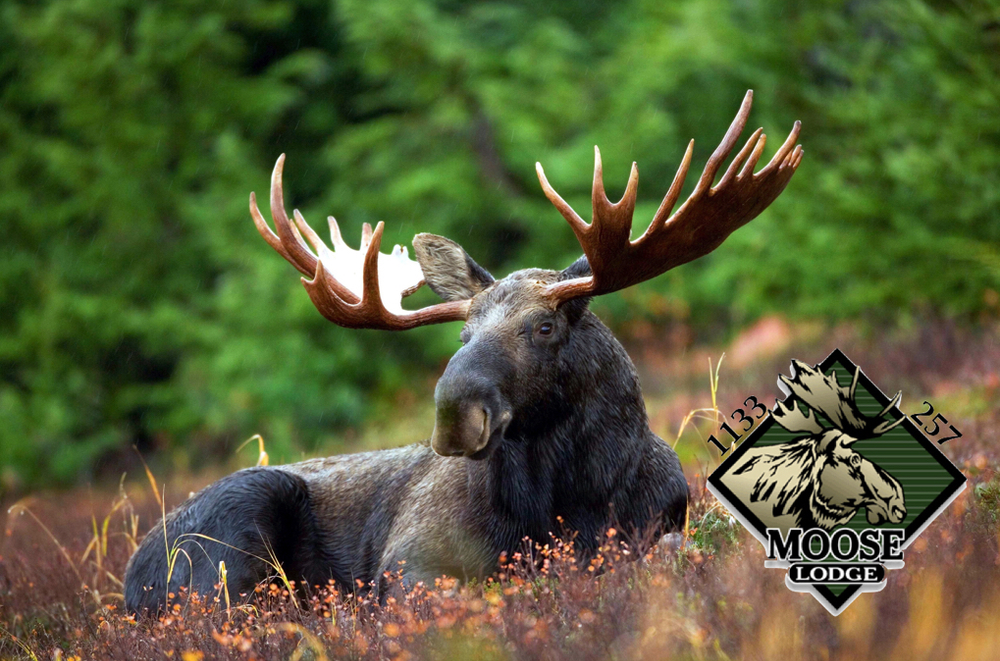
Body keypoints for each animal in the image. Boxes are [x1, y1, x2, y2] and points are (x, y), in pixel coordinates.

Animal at [123, 90, 803, 614]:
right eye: (462, 335)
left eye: (544, 327)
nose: (454, 413)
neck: (572, 500)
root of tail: (129, 579)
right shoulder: (409, 561)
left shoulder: (660, 526)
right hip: (233, 532)